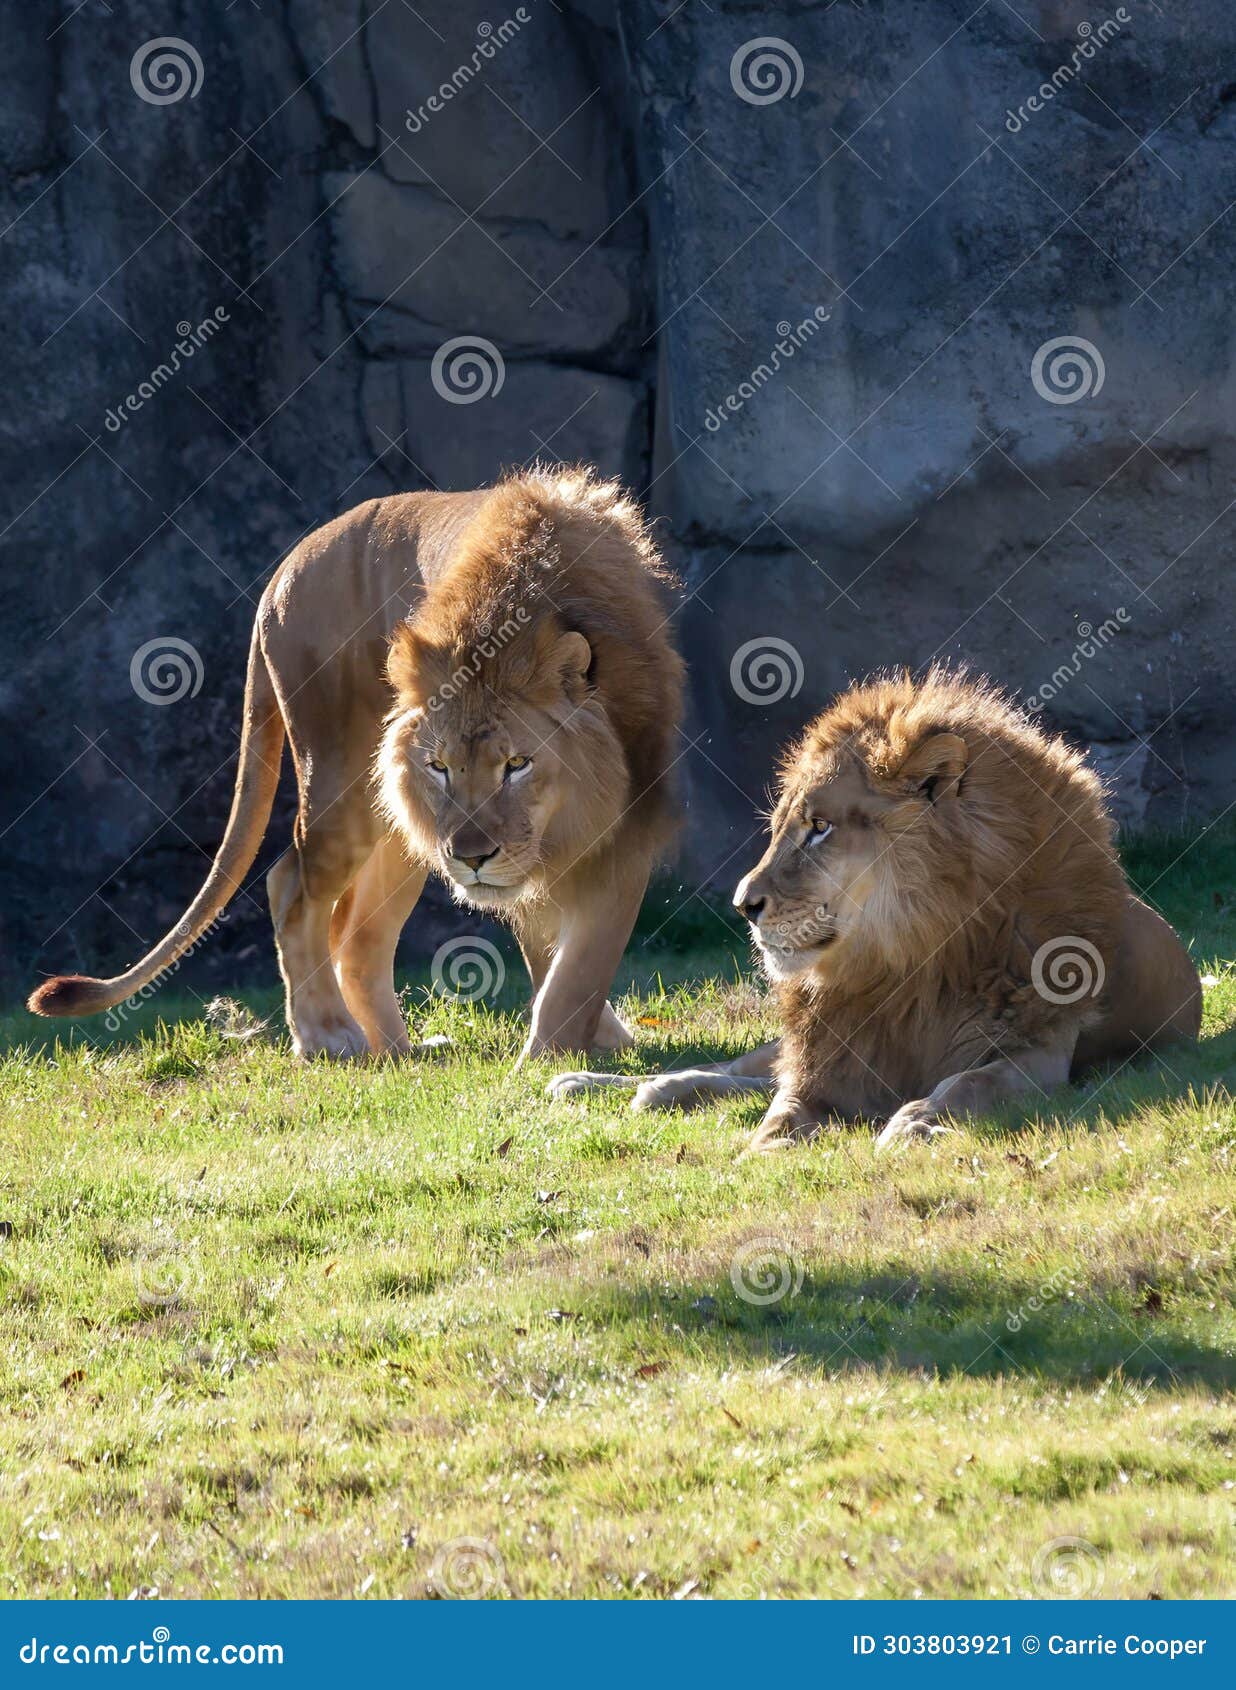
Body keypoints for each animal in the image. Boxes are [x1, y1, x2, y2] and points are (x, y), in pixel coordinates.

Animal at [28, 467, 685, 1064]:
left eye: (518, 764)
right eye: (440, 767)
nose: (471, 857)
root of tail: (278, 577)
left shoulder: (631, 820)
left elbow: (581, 960)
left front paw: (584, 1041)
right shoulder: (516, 854)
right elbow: (562, 963)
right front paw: (553, 1058)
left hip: (398, 826)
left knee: (358, 936)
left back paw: (396, 1049)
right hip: (342, 780)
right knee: (292, 887)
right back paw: (327, 1035)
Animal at [549, 668, 1202, 1151]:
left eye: (819, 827)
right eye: (781, 827)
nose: (742, 904)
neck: (909, 960)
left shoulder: (1041, 1053)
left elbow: (969, 1081)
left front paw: (916, 1122)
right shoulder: (829, 1052)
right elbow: (784, 1103)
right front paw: (768, 1145)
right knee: (740, 1069)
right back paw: (611, 1082)